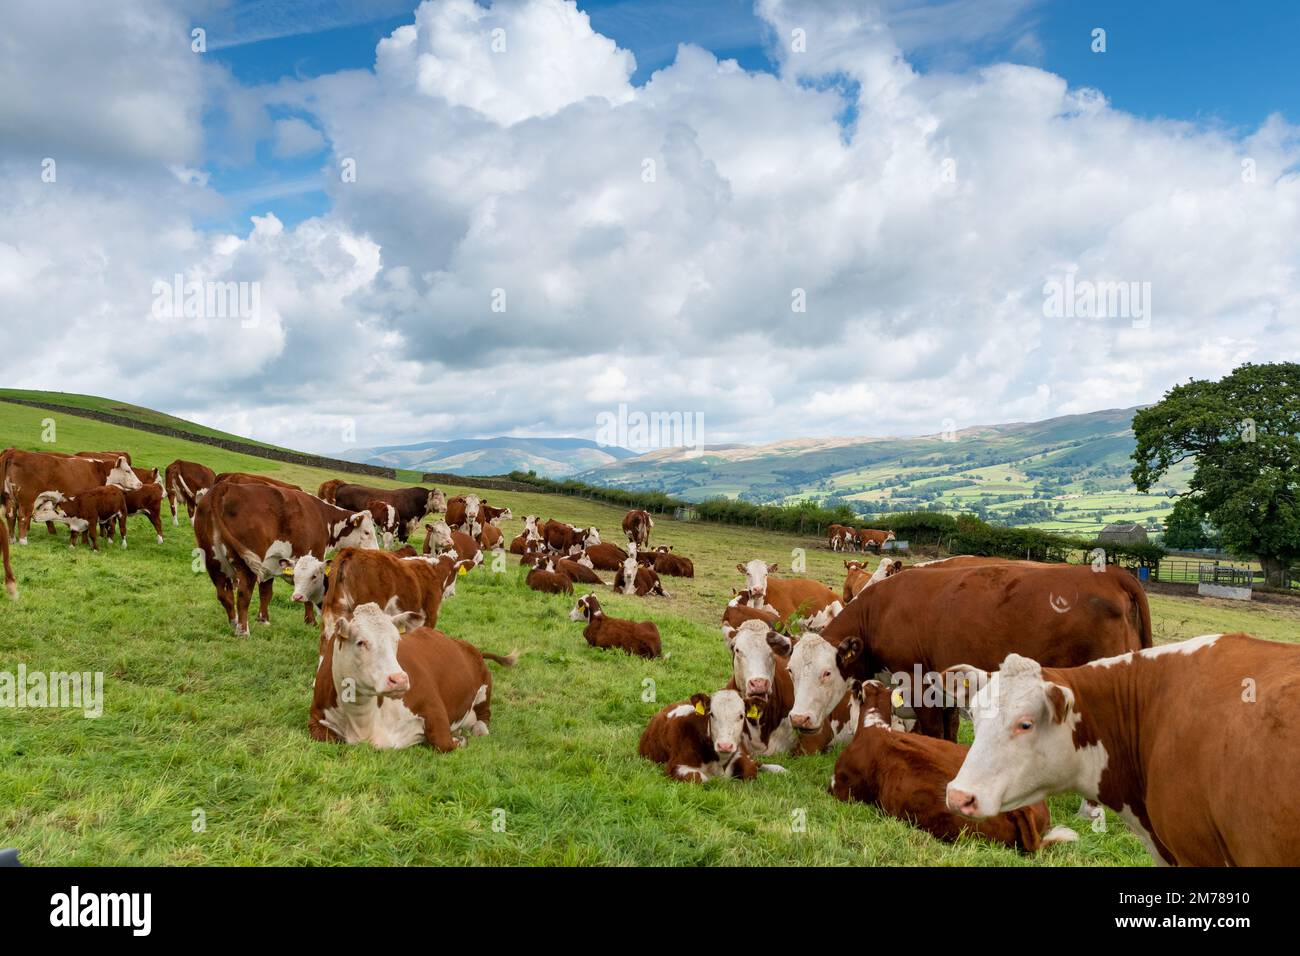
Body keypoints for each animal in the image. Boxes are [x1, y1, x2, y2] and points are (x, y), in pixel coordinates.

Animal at [2, 449, 142, 543]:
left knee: (10, 516)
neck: (97, 470)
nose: (140, 484)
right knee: (23, 518)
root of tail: (16, 452)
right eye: (128, 470)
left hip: (10, 498)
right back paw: (23, 541)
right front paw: (85, 542)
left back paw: (12, 540)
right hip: (27, 500)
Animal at [194, 482, 378, 635]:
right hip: (245, 565)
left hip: (213, 561)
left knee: (224, 595)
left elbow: (266, 592)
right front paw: (311, 622)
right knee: (243, 595)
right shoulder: (314, 559)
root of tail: (225, 486)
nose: (376, 553)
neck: (323, 517)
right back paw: (243, 631)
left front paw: (263, 619)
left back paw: (234, 622)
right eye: (367, 532)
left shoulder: (270, 564)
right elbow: (308, 595)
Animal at [309, 601, 516, 750]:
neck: (362, 720)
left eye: (397, 640)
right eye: (360, 642)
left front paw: (459, 740)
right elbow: (326, 738)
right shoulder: (315, 718)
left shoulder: (432, 703)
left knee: (483, 720)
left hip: (484, 693)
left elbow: (444, 743)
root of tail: (471, 647)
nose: (399, 680)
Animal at [638, 690, 786, 782]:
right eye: (712, 714)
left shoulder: (739, 754)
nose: (725, 745)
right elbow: (701, 778)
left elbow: (749, 769)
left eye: (741, 715)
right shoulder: (674, 766)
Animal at [819, 560, 1152, 740]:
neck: (881, 610)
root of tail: (1113, 574)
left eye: (826, 673)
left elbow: (933, 730)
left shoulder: (918, 681)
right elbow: (949, 728)